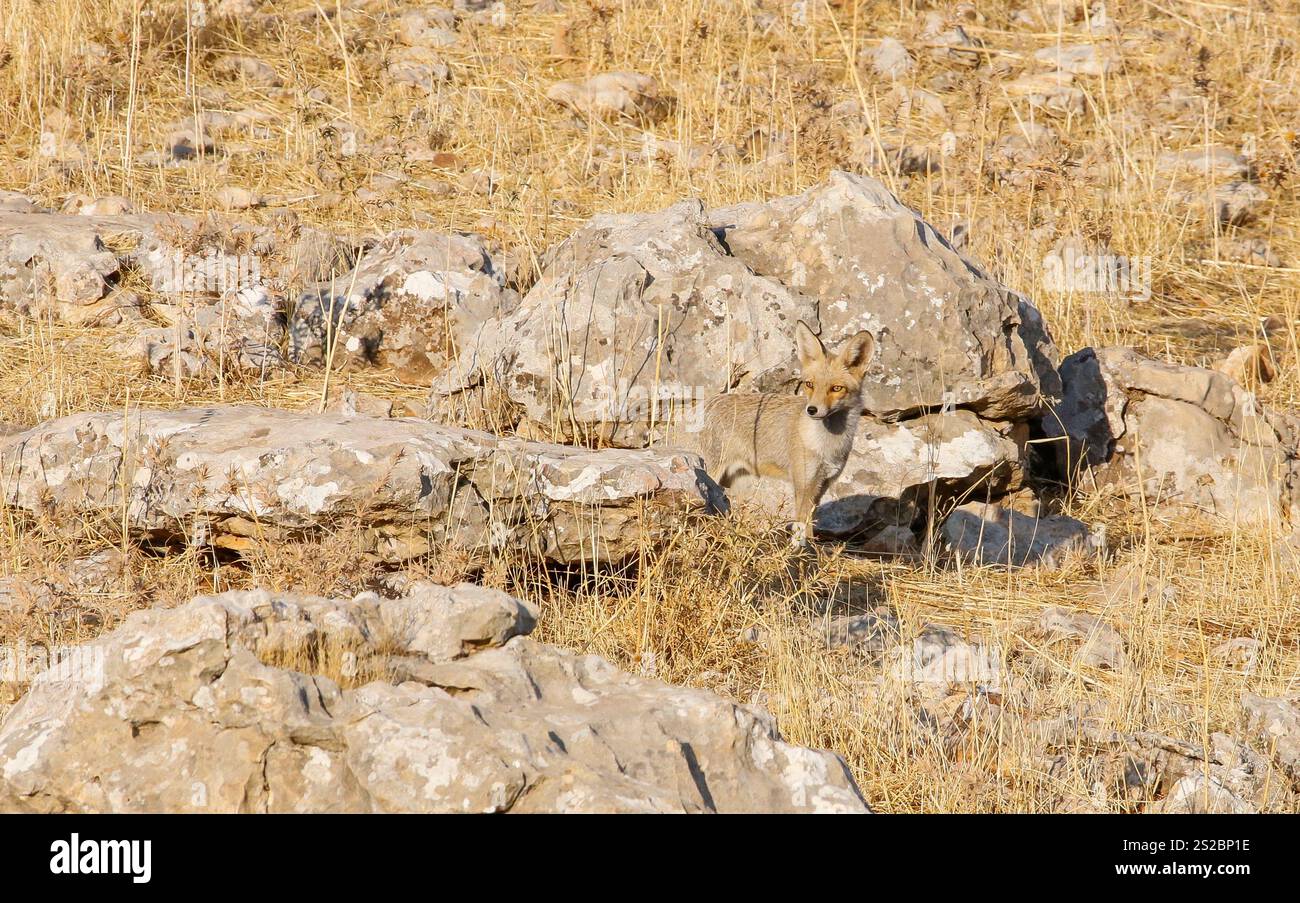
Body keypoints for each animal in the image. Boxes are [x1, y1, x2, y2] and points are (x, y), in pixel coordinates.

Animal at [699, 320, 877, 539]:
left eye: (836, 388)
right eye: (809, 384)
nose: (812, 410)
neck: (826, 446)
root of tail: (709, 403)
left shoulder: (821, 485)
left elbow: (810, 525)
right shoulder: (803, 484)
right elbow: (802, 526)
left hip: (734, 480)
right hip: (714, 473)